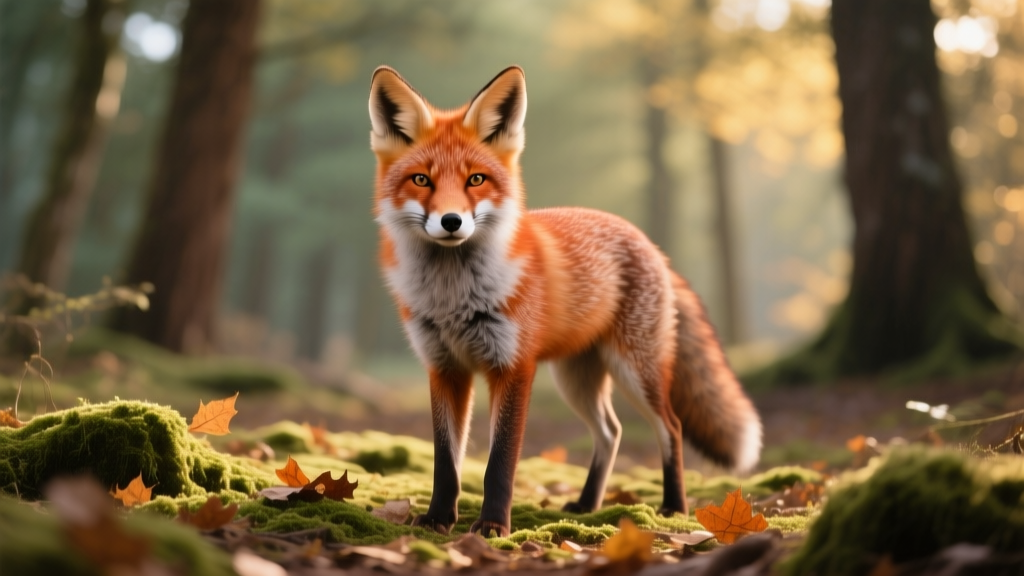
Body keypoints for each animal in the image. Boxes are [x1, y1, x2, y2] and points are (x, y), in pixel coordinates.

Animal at [368, 65, 762, 537]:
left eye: (475, 180)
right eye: (421, 179)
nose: (450, 221)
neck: (453, 298)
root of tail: (650, 244)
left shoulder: (513, 367)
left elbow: (500, 463)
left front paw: (493, 526)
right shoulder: (444, 368)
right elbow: (446, 462)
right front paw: (437, 519)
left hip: (636, 372)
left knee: (672, 426)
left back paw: (673, 506)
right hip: (576, 380)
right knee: (611, 432)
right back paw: (587, 504)